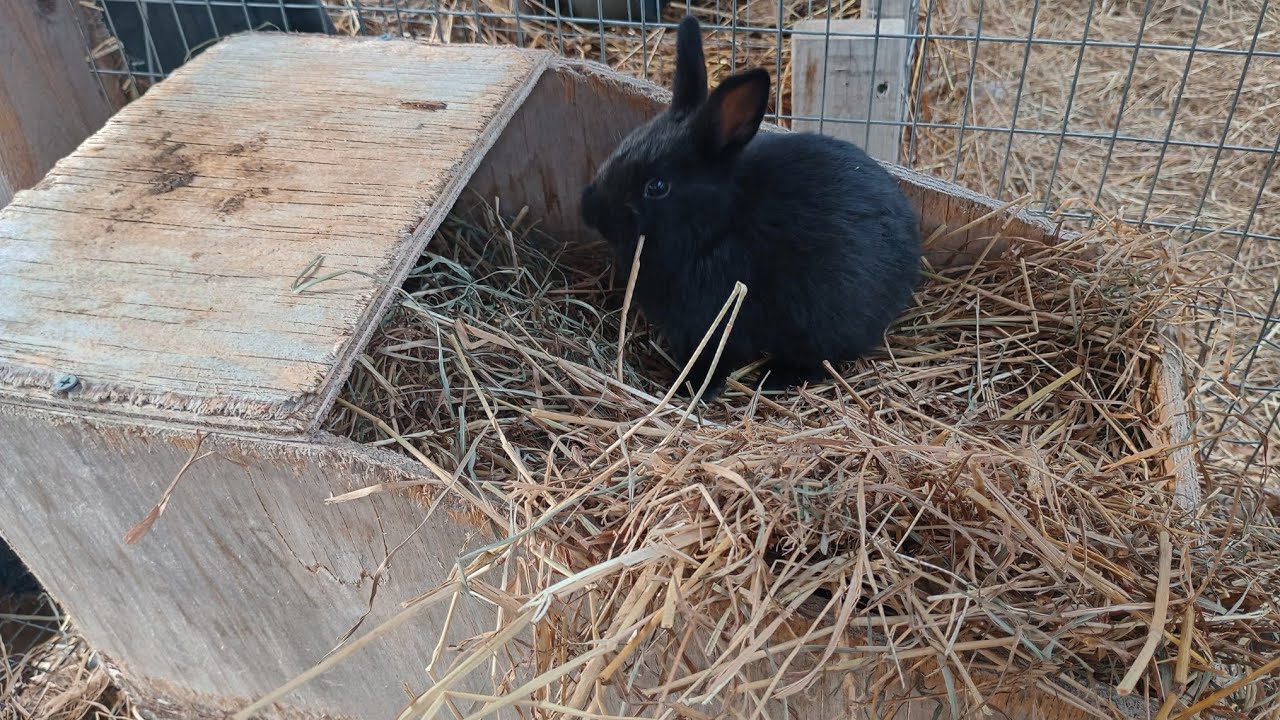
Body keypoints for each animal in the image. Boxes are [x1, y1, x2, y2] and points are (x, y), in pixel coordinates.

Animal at [579, 14, 922, 398]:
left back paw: (775, 377)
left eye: (657, 187)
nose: (588, 209)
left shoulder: (715, 320)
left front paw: (689, 389)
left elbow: (713, 358)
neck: (718, 226)